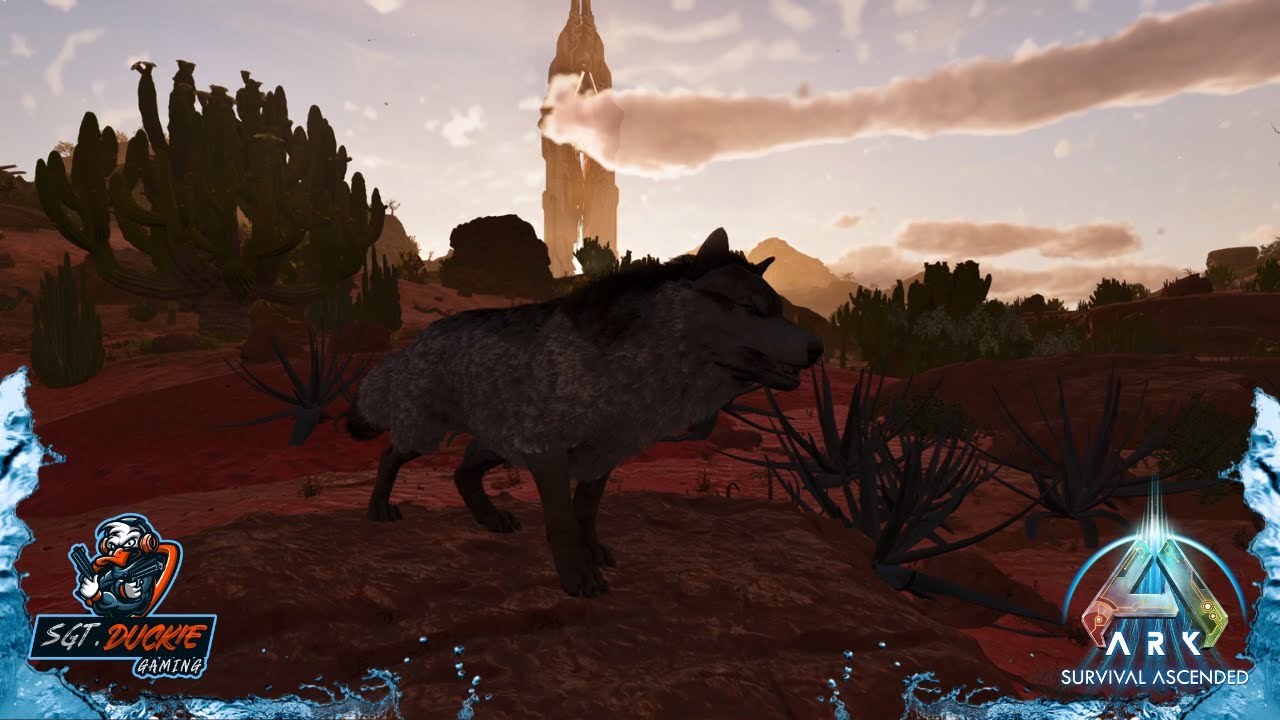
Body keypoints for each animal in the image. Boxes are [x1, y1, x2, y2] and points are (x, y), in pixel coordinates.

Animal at [344, 228, 823, 597]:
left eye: (779, 310)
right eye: (751, 310)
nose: (817, 348)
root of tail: (421, 338)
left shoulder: (601, 458)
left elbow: (586, 513)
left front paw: (593, 554)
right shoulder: (548, 456)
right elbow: (562, 521)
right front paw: (577, 577)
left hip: (495, 442)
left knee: (462, 473)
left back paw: (491, 518)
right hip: (428, 434)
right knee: (391, 454)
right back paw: (379, 509)